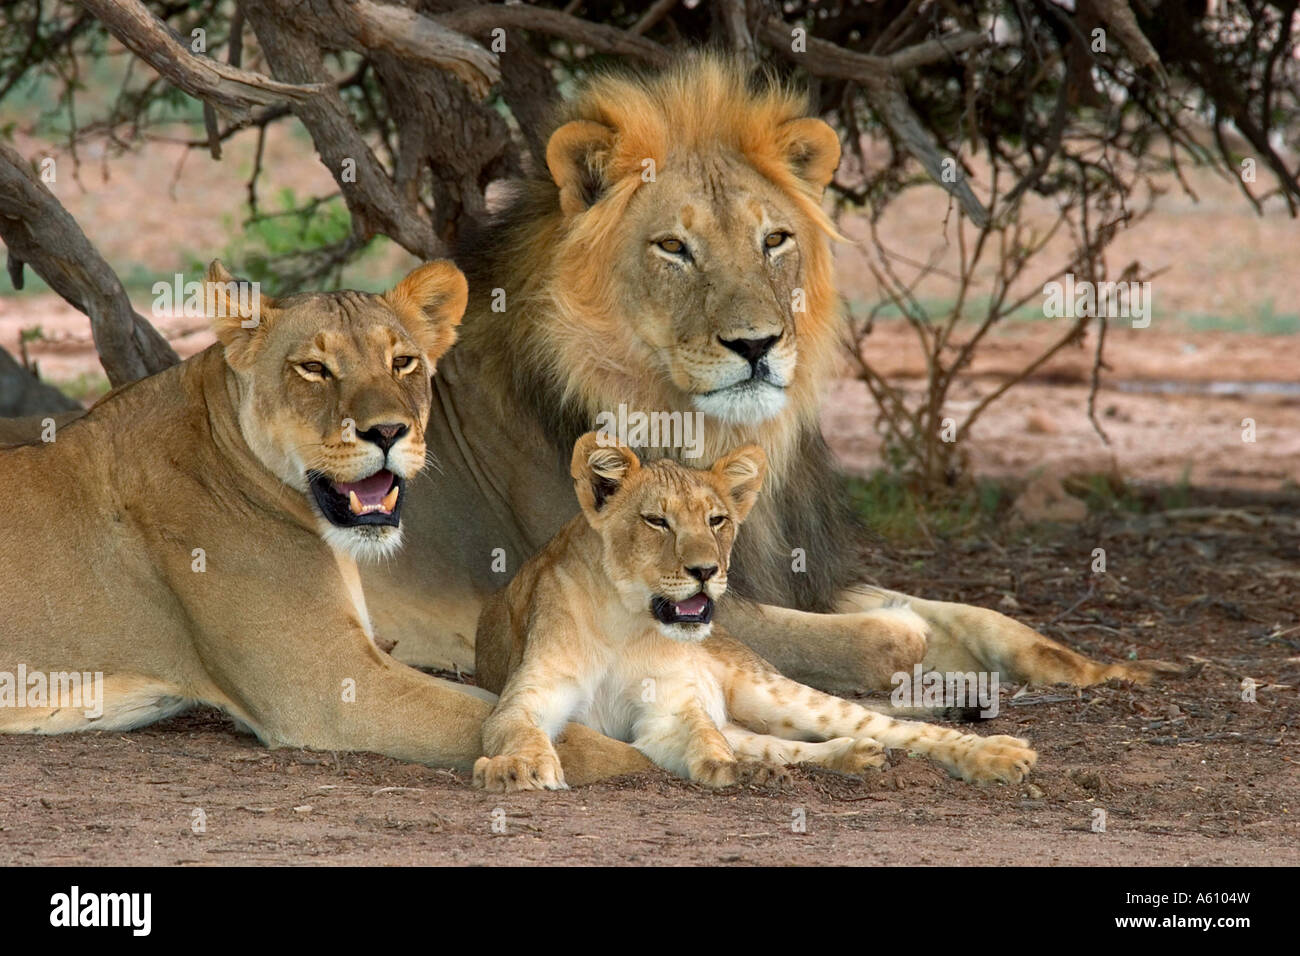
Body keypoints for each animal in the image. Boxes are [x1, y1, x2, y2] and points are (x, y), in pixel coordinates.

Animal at [361, 53, 1178, 714]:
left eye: (774, 239)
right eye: (674, 247)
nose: (756, 345)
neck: (707, 427)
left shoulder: (794, 571)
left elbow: (977, 615)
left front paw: (1119, 668)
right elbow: (889, 634)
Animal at [473, 432, 1037, 793]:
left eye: (717, 519)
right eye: (657, 521)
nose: (706, 570)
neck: (625, 622)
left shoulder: (670, 709)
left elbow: (702, 738)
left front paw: (724, 768)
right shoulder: (527, 696)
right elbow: (517, 728)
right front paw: (519, 767)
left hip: (775, 691)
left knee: (897, 728)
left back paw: (999, 755)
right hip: (756, 716)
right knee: (772, 743)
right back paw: (851, 756)